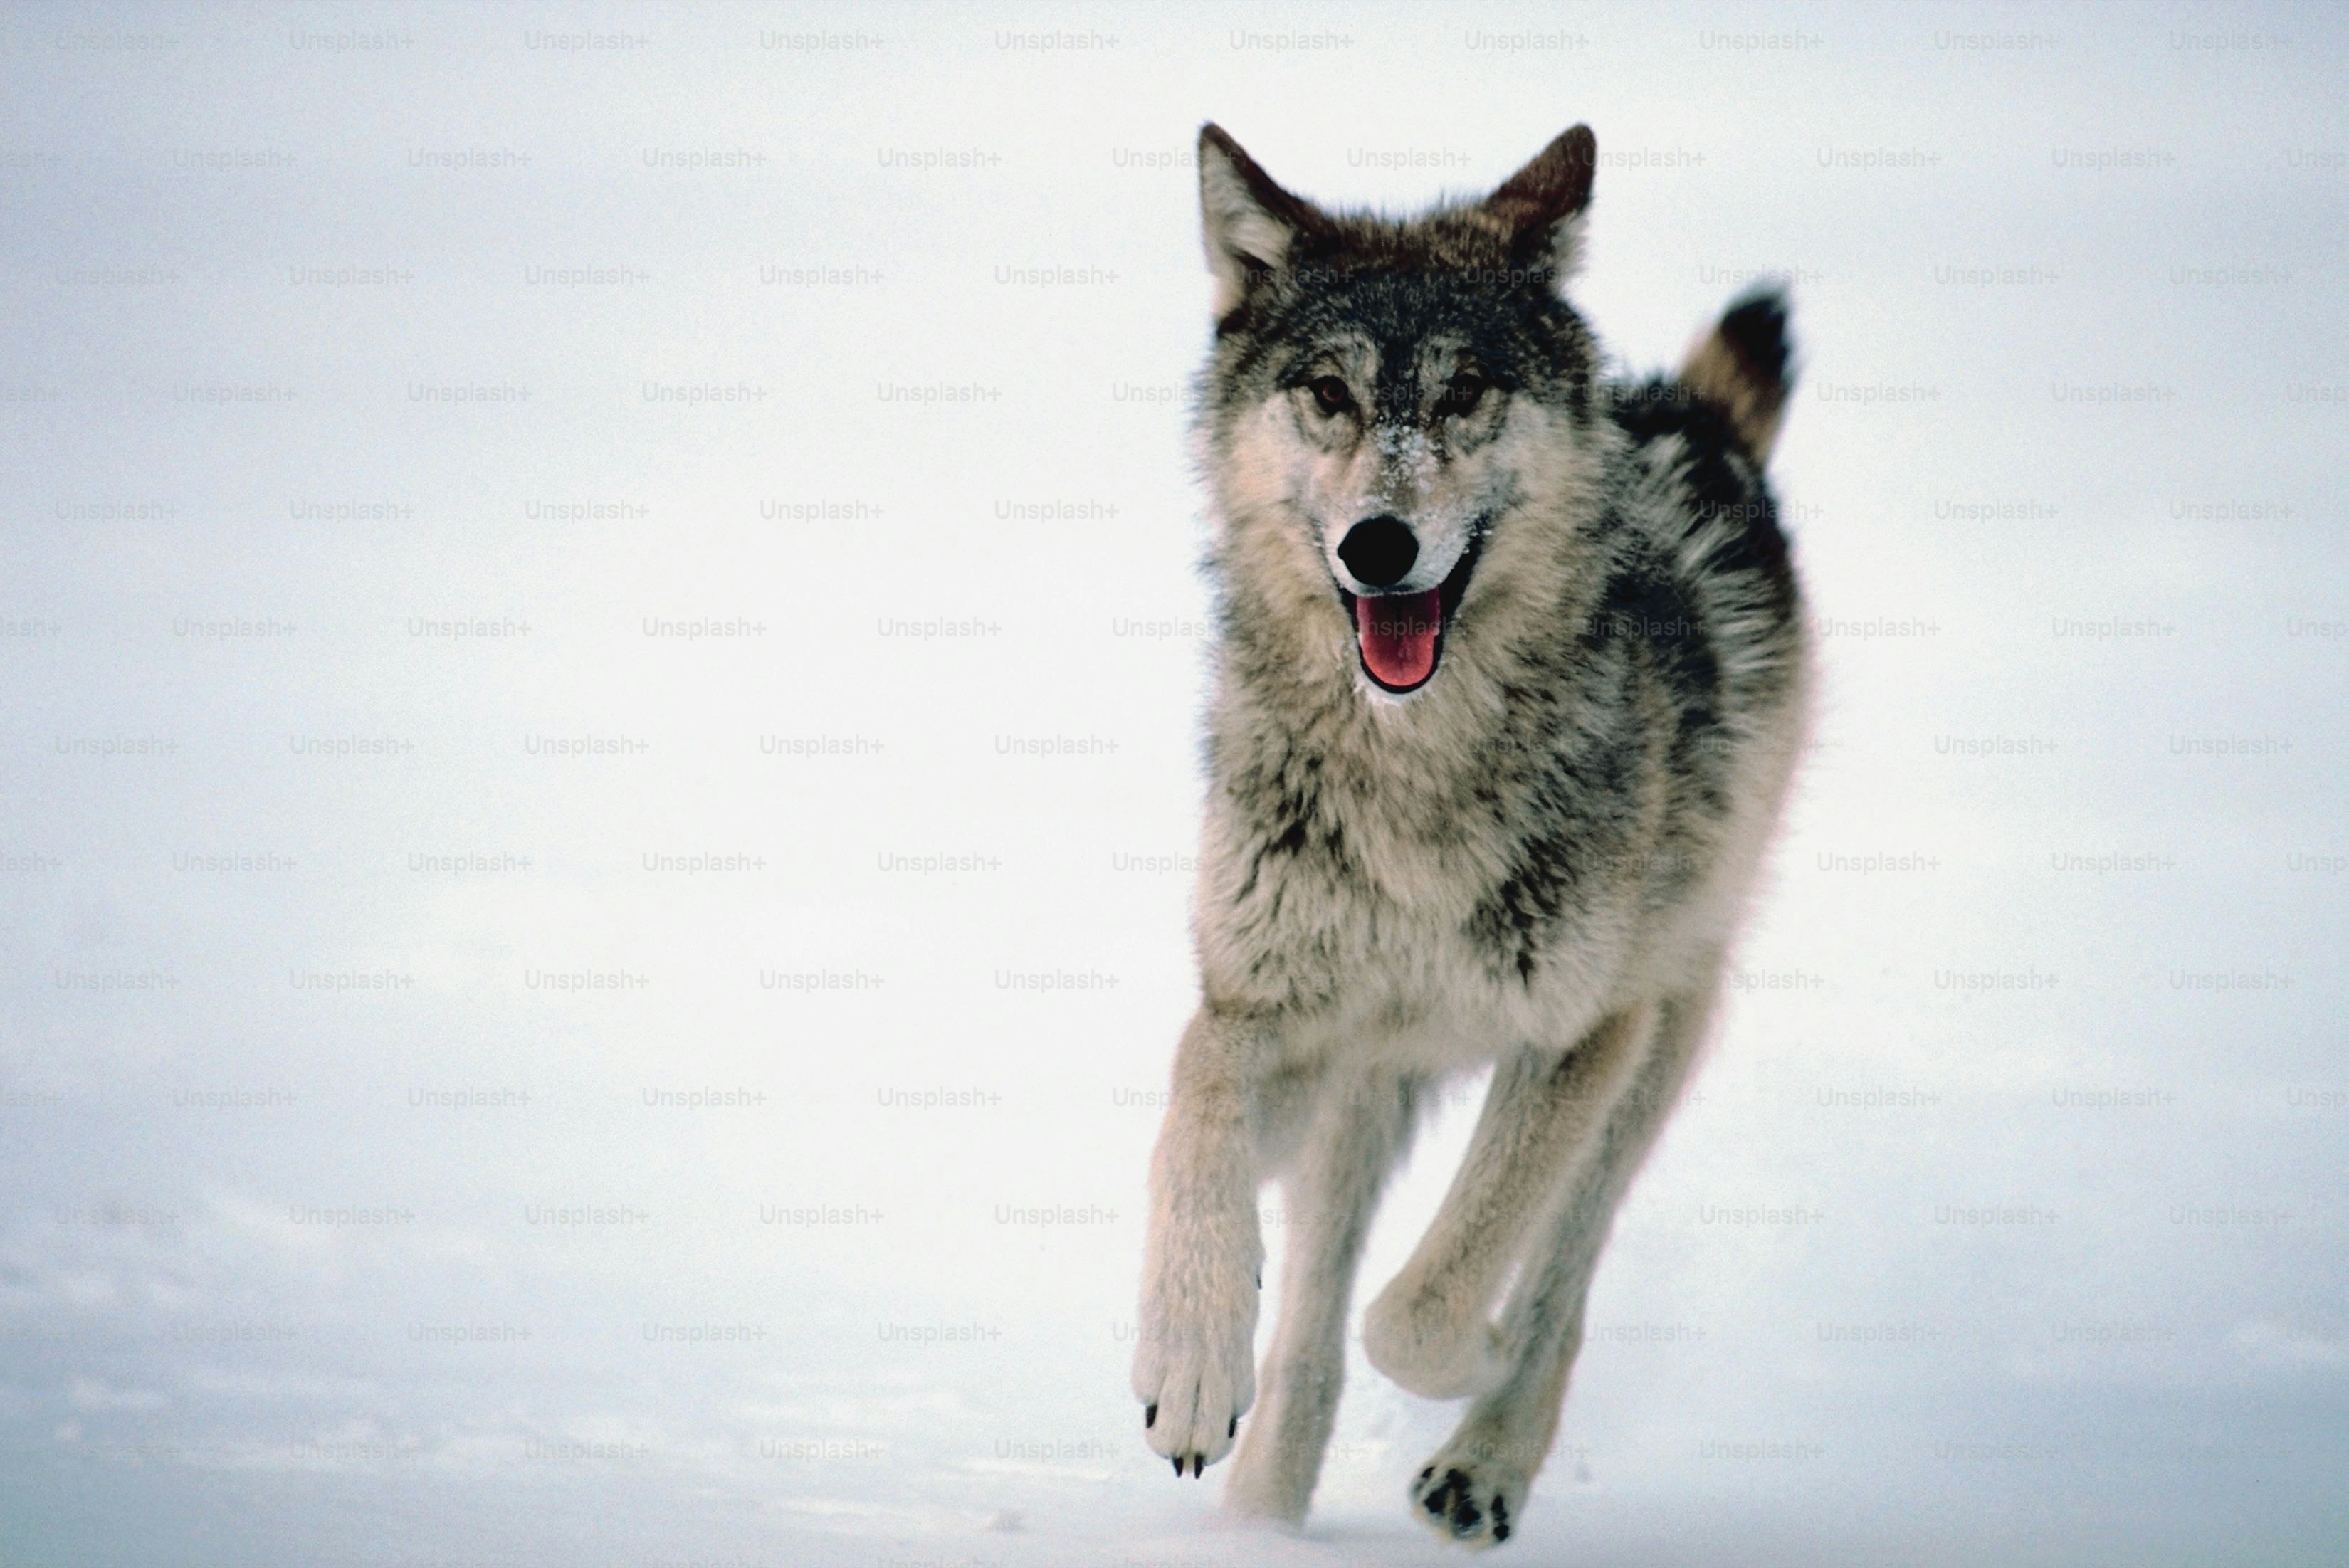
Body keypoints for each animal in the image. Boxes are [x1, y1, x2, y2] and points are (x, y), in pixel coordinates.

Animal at [1130, 121, 1810, 1548]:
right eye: (1328, 393)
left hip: (1658, 1036)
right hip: (1364, 1097)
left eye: (1466, 395)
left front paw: (1478, 1353)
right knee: (1315, 1323)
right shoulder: (1270, 1013)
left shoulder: (1582, 1033)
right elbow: (1193, 1097)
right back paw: (1263, 1522)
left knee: (1562, 1266)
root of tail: (1694, 413)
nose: (1380, 543)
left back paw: (1484, 1454)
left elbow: (1432, 1302)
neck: (1414, 779)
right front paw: (1190, 1357)